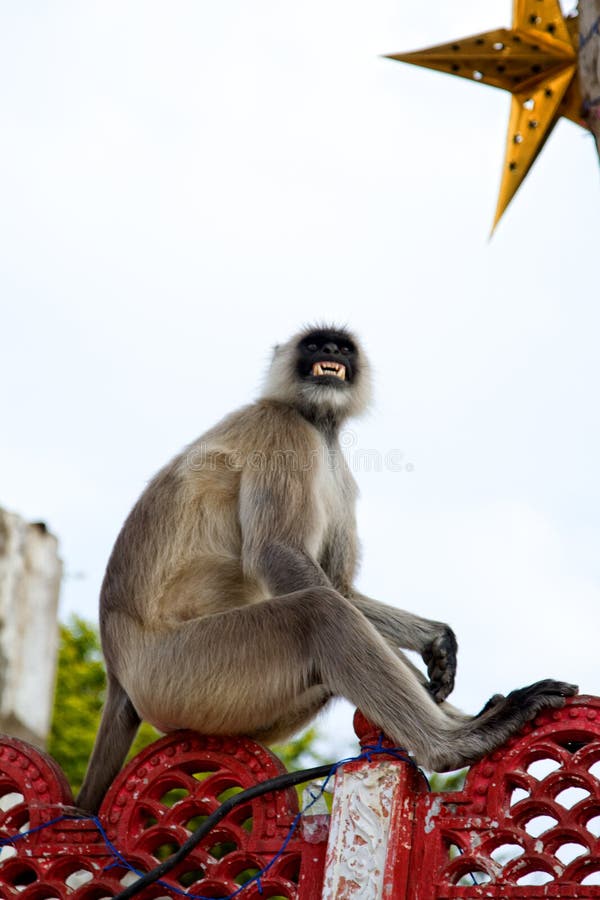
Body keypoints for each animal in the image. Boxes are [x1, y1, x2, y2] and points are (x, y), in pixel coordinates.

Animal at [76, 325, 577, 813]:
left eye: (342, 348)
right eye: (315, 344)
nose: (331, 352)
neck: (317, 423)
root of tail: (118, 671)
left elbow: (341, 586)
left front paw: (437, 641)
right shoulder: (283, 431)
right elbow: (282, 558)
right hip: (182, 674)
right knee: (319, 612)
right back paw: (459, 742)